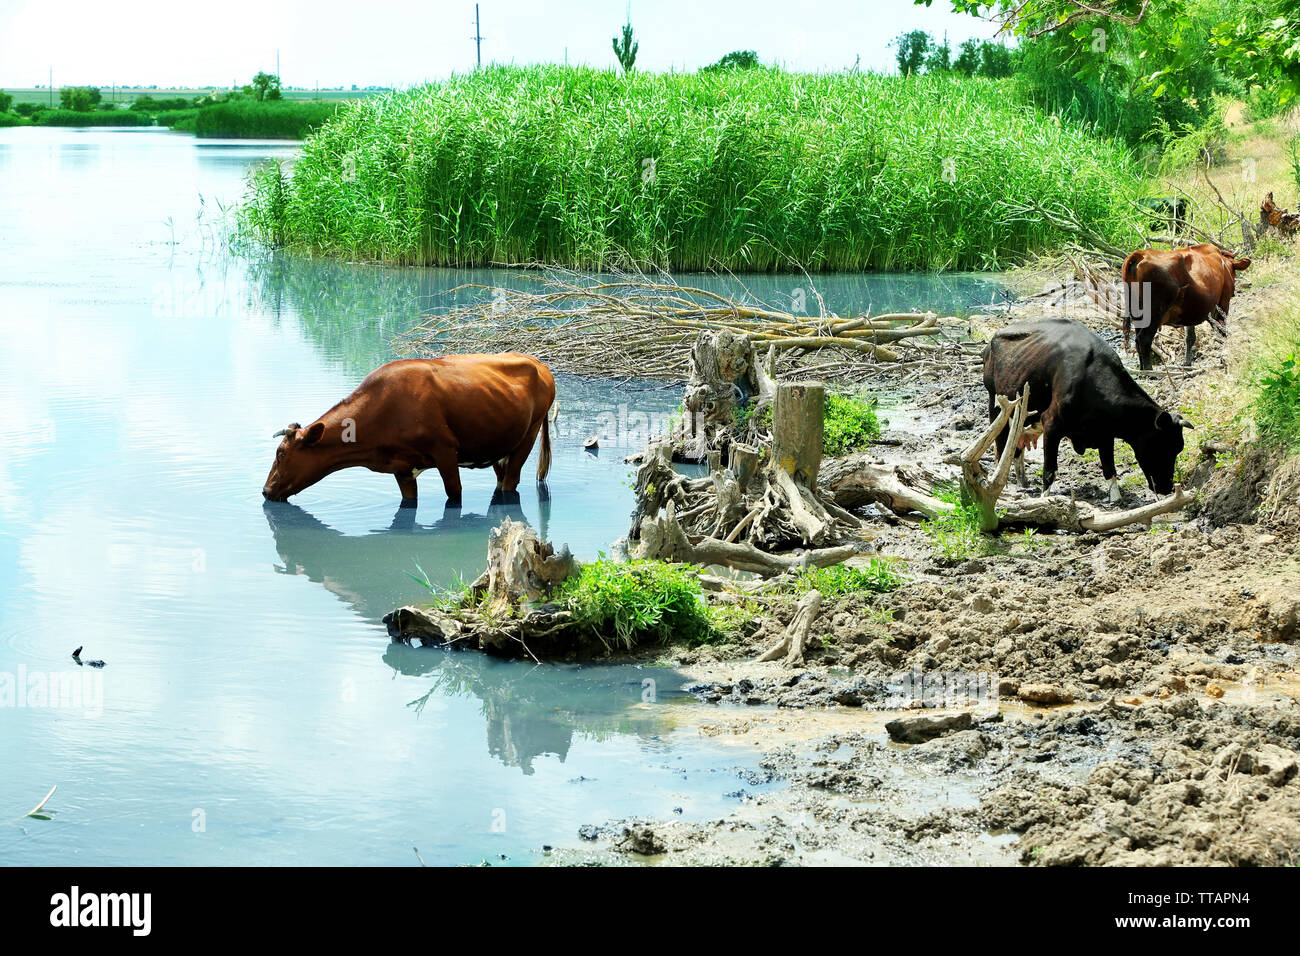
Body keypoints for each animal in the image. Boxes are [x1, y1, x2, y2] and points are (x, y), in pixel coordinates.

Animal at [262, 353, 556, 507]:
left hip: (528, 436)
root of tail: (538, 362)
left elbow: (454, 493)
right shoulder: (402, 468)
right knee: (501, 477)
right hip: (497, 443)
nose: (265, 491)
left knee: (511, 482)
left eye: (281, 454)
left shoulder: (445, 451)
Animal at [983, 318, 1193, 504]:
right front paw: (1044, 499)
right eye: (1161, 445)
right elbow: (1050, 470)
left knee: (1016, 448)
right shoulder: (1051, 423)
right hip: (997, 406)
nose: (1167, 487)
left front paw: (1117, 499)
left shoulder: (1105, 434)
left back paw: (1022, 483)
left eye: (1178, 448)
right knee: (1001, 449)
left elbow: (1109, 468)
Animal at [1121, 243, 1250, 370]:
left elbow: (1190, 337)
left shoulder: (1191, 312)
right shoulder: (1222, 304)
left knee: (1137, 341)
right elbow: (1222, 331)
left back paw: (1142, 369)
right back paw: (1149, 371)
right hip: (1154, 314)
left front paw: (1187, 362)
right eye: (1233, 272)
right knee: (1144, 339)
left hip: (1138, 314)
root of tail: (1141, 254)